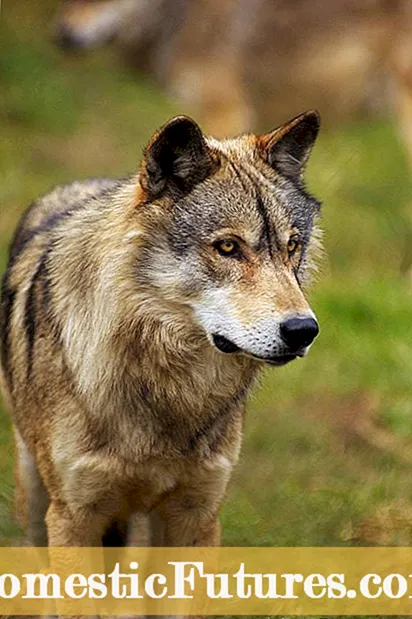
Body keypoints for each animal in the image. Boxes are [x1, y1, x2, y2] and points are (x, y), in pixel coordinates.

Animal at [0, 110, 322, 548]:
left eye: (291, 246)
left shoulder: (199, 513)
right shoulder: (74, 517)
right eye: (228, 247)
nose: (303, 330)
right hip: (35, 501)